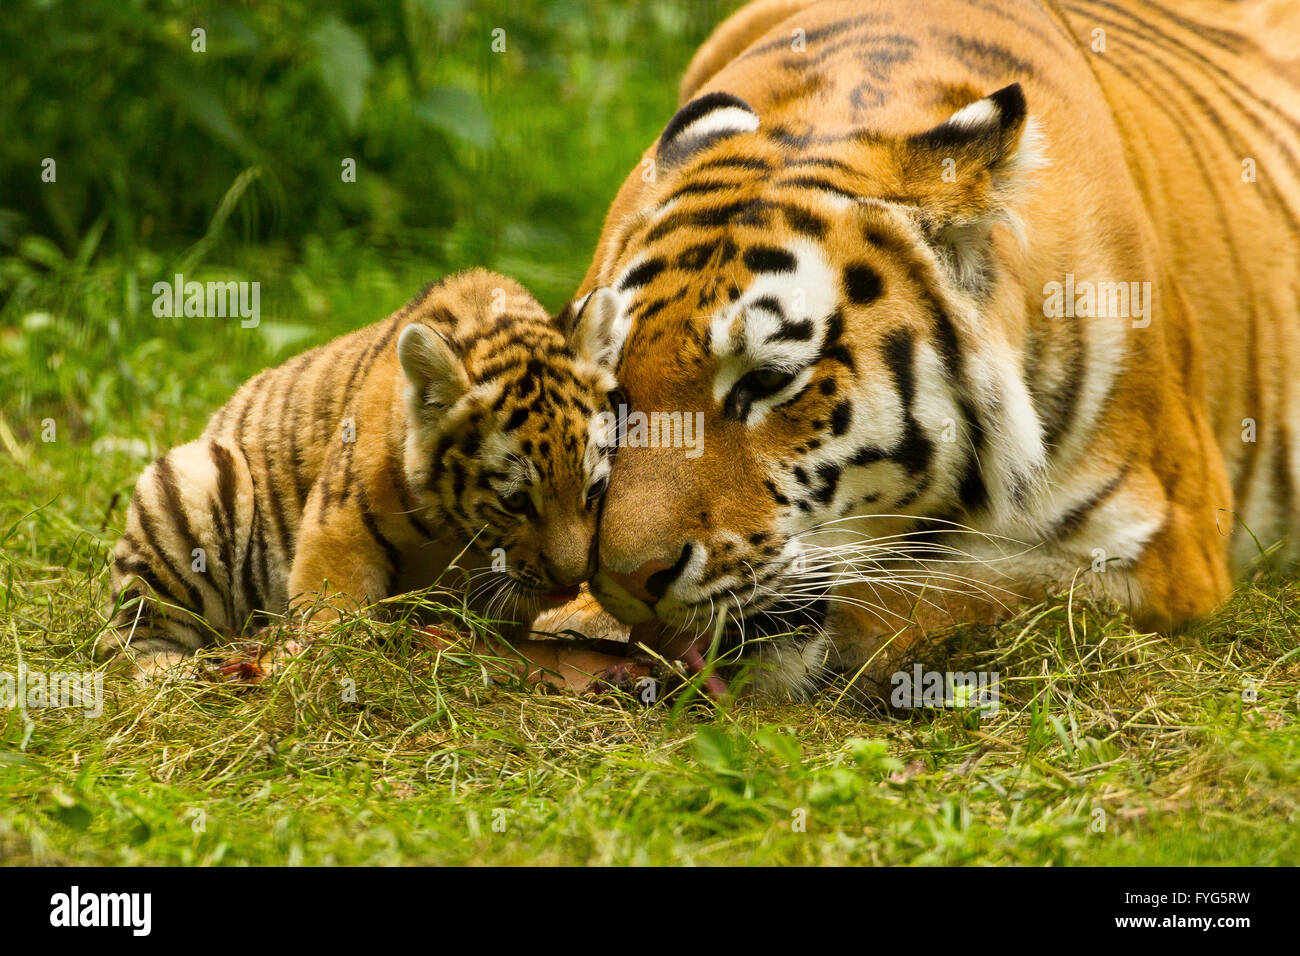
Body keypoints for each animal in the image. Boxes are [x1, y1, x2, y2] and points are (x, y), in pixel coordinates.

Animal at [99, 269, 640, 689]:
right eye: (516, 502)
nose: (570, 583)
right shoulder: (337, 527)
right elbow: (334, 610)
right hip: (194, 479)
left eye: (594, 490)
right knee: (130, 641)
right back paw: (180, 675)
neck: (457, 534)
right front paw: (339, 663)